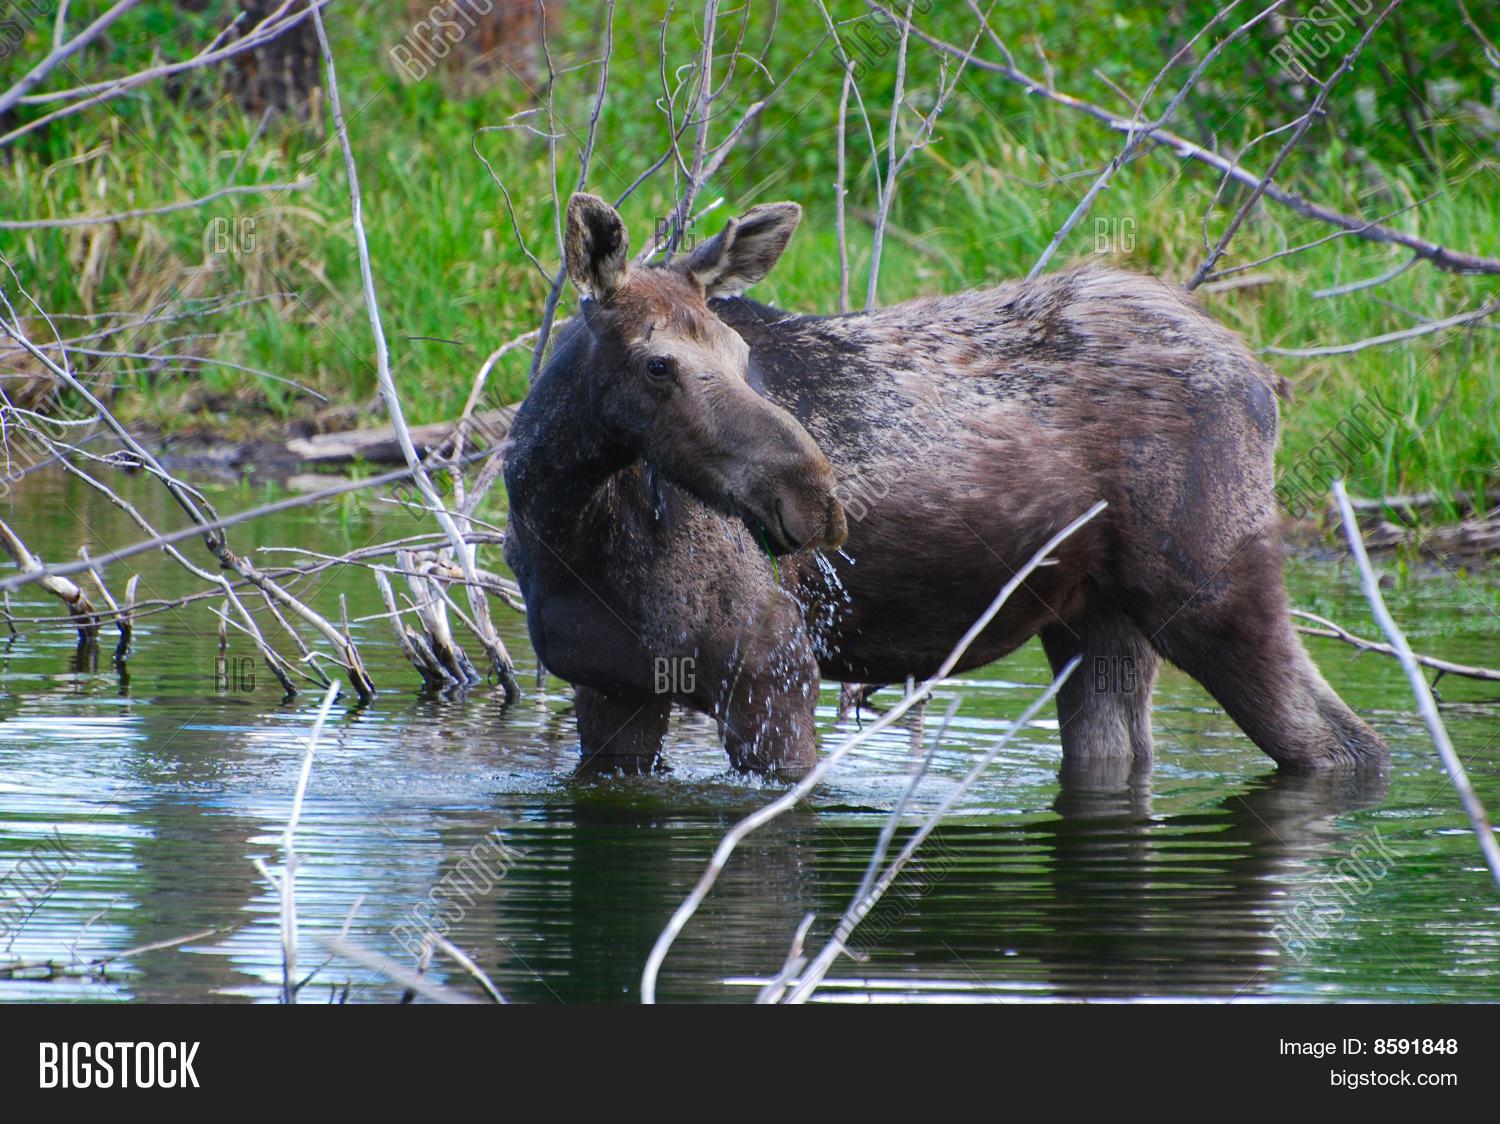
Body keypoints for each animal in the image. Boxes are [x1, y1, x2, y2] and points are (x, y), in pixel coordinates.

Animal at [501, 193, 1390, 777]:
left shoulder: (773, 670)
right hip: (1097, 616)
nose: (817, 499)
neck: (568, 530)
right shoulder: (609, 691)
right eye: (659, 364)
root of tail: (1261, 378)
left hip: (1212, 585)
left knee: (1349, 746)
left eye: (741, 352)